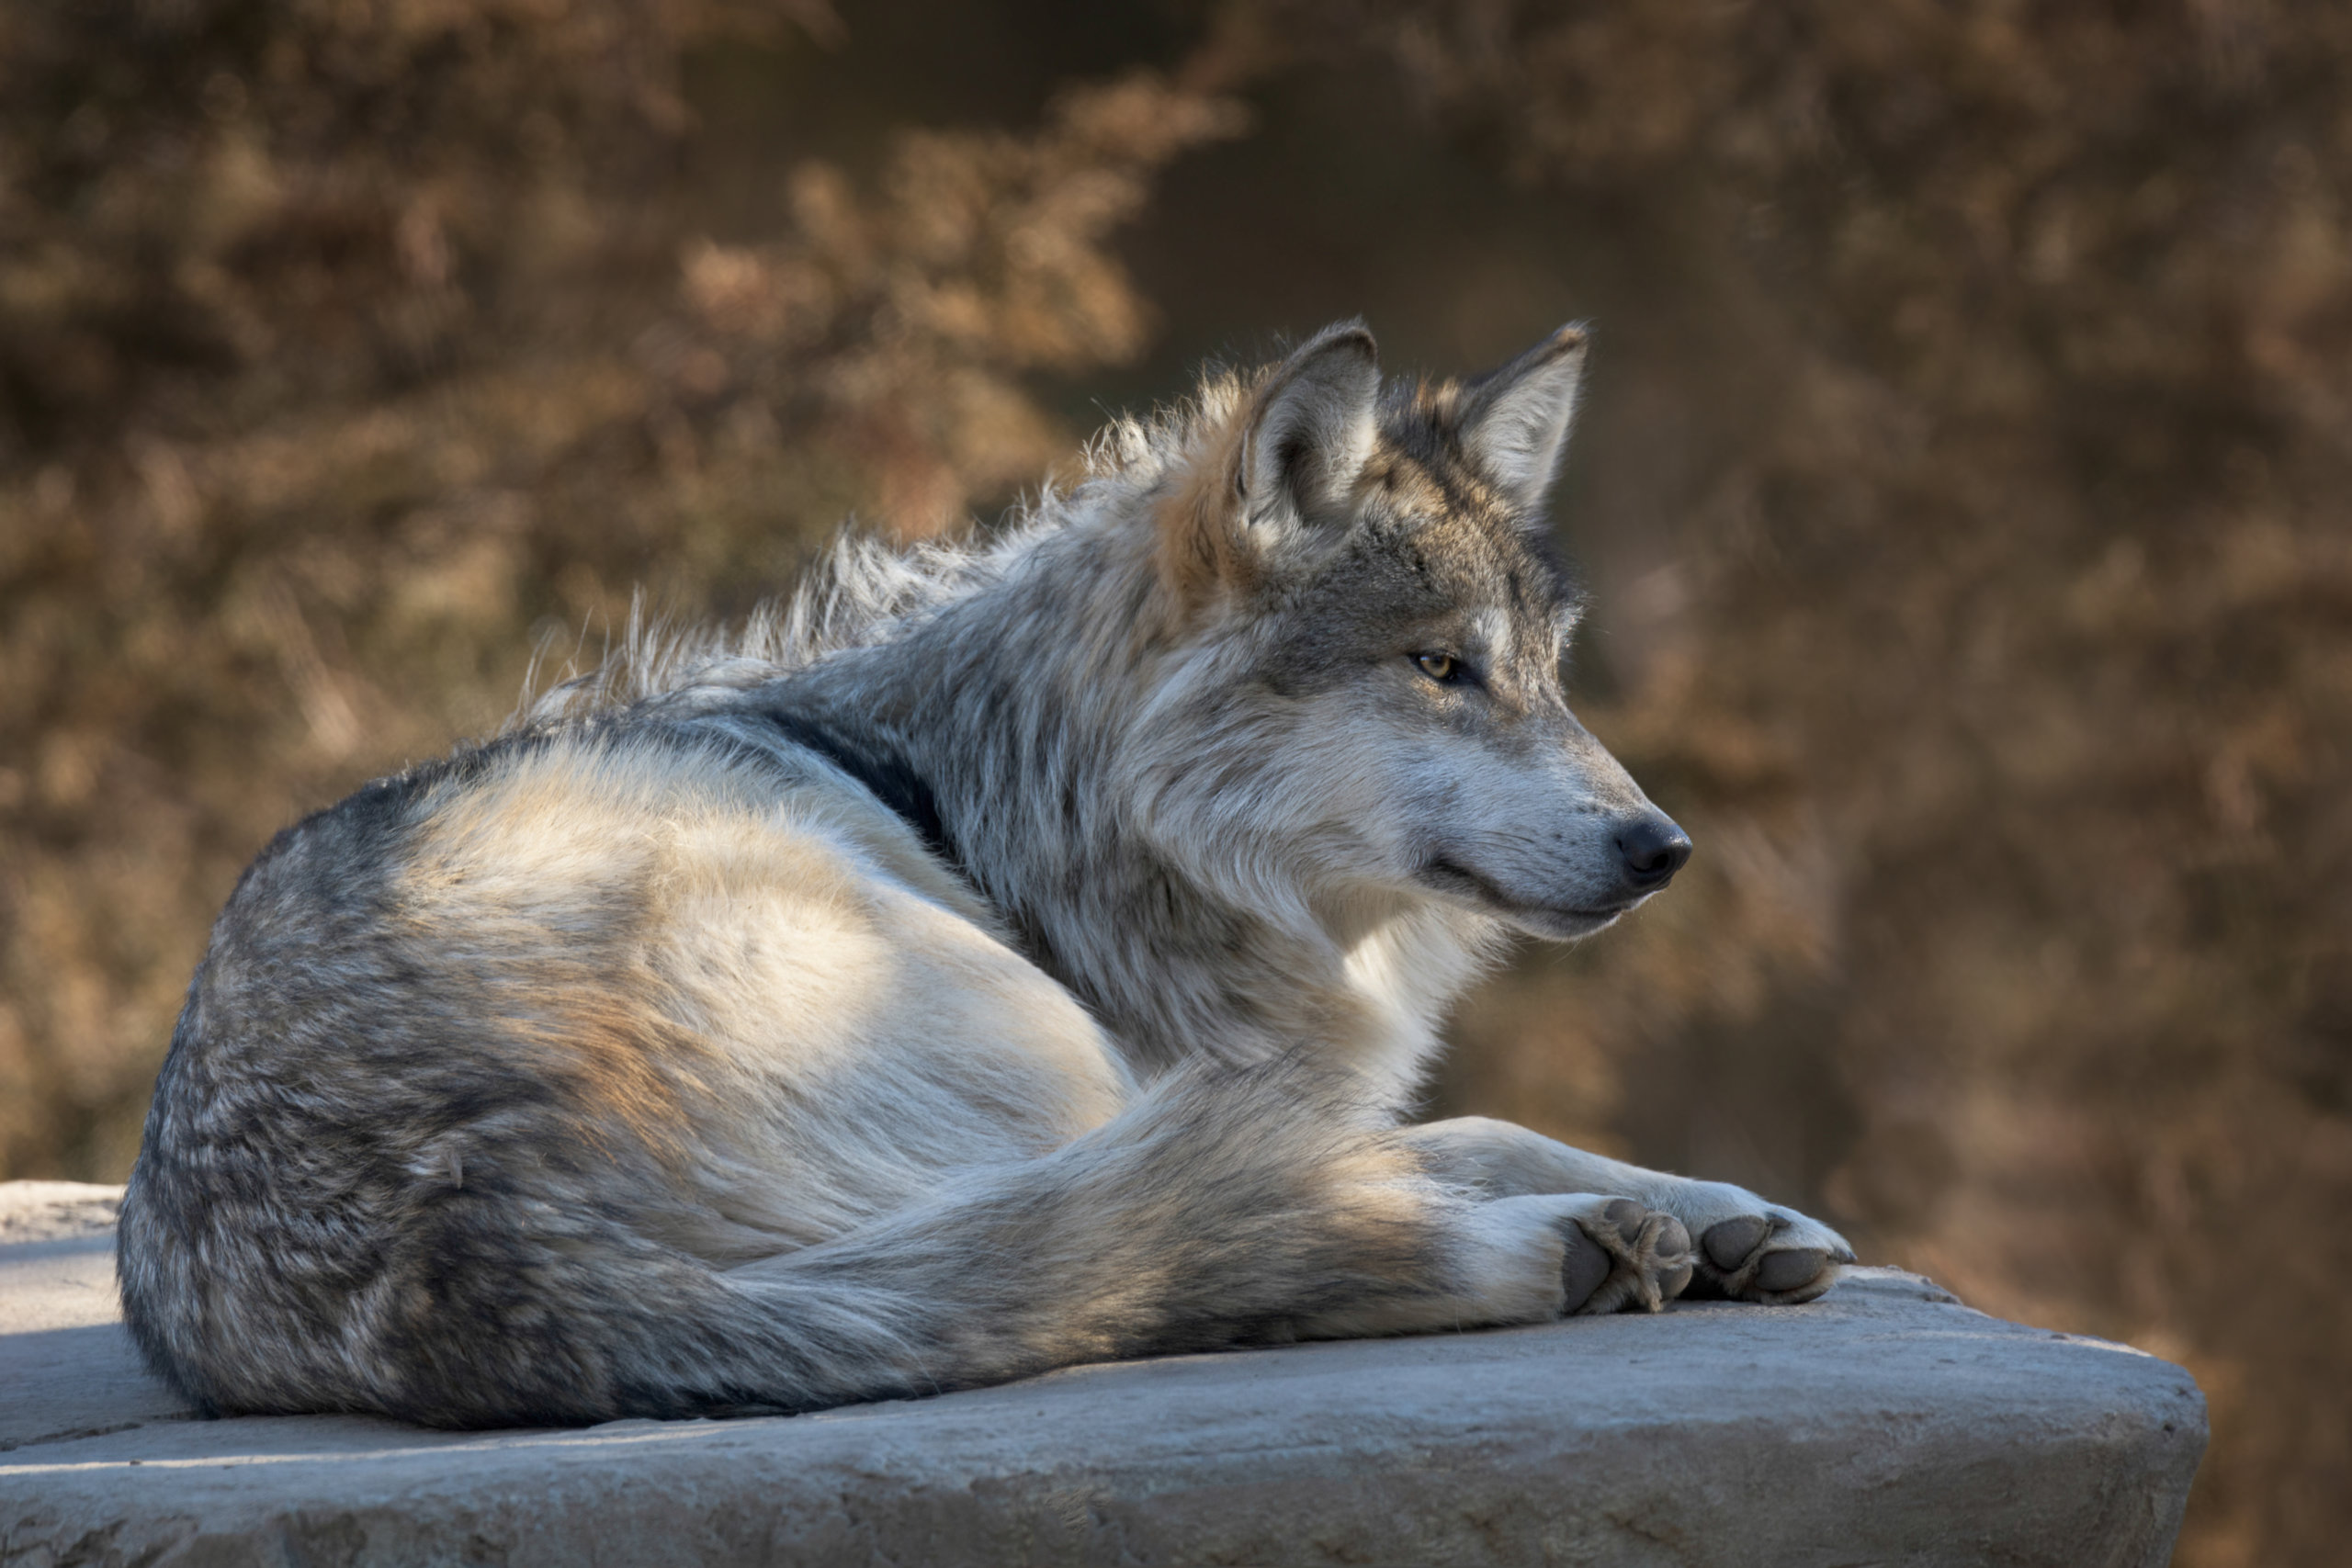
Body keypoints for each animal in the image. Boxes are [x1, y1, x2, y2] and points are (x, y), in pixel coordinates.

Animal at [117, 321, 1854, 1428]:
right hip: (1028, 1049)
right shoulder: (1179, 1062)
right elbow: (1448, 1135)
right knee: (1196, 1242)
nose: (1663, 848)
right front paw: (1653, 1211)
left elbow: (1477, 1126)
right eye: (1441, 667)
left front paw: (1736, 1214)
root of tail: (455, 1230)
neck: (1019, 795)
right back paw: (1554, 1248)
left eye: (1551, 674)